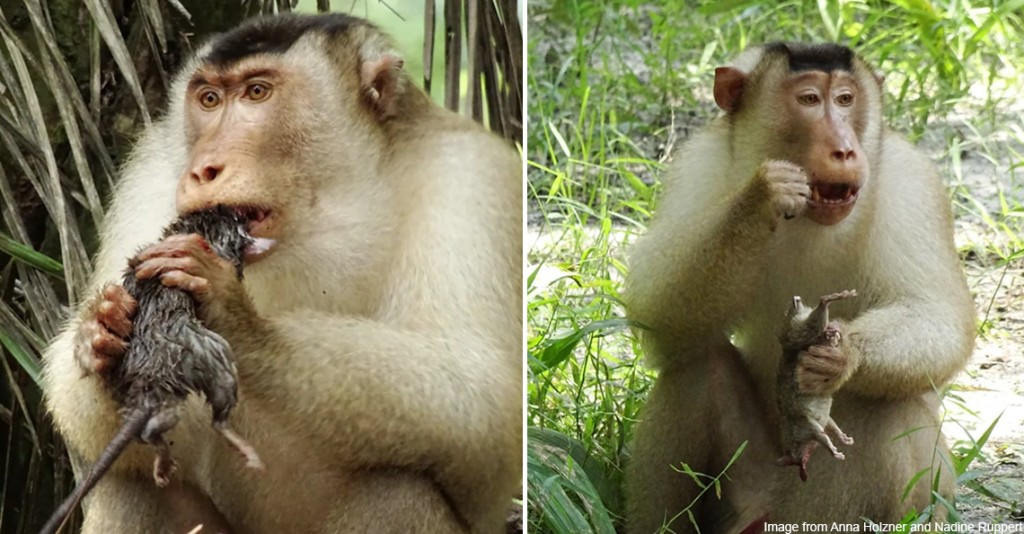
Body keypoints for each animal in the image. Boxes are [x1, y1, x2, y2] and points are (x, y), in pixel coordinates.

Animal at [40, 208, 264, 534]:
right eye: (232, 217)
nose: (242, 214)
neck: (192, 227)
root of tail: (147, 389)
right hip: (217, 363)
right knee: (208, 419)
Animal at [776, 290, 857, 482]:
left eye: (796, 462)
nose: (802, 469)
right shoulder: (815, 427)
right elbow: (829, 430)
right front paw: (839, 443)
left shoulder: (807, 429)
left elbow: (825, 436)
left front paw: (835, 449)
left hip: (794, 332)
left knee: (805, 329)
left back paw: (828, 304)